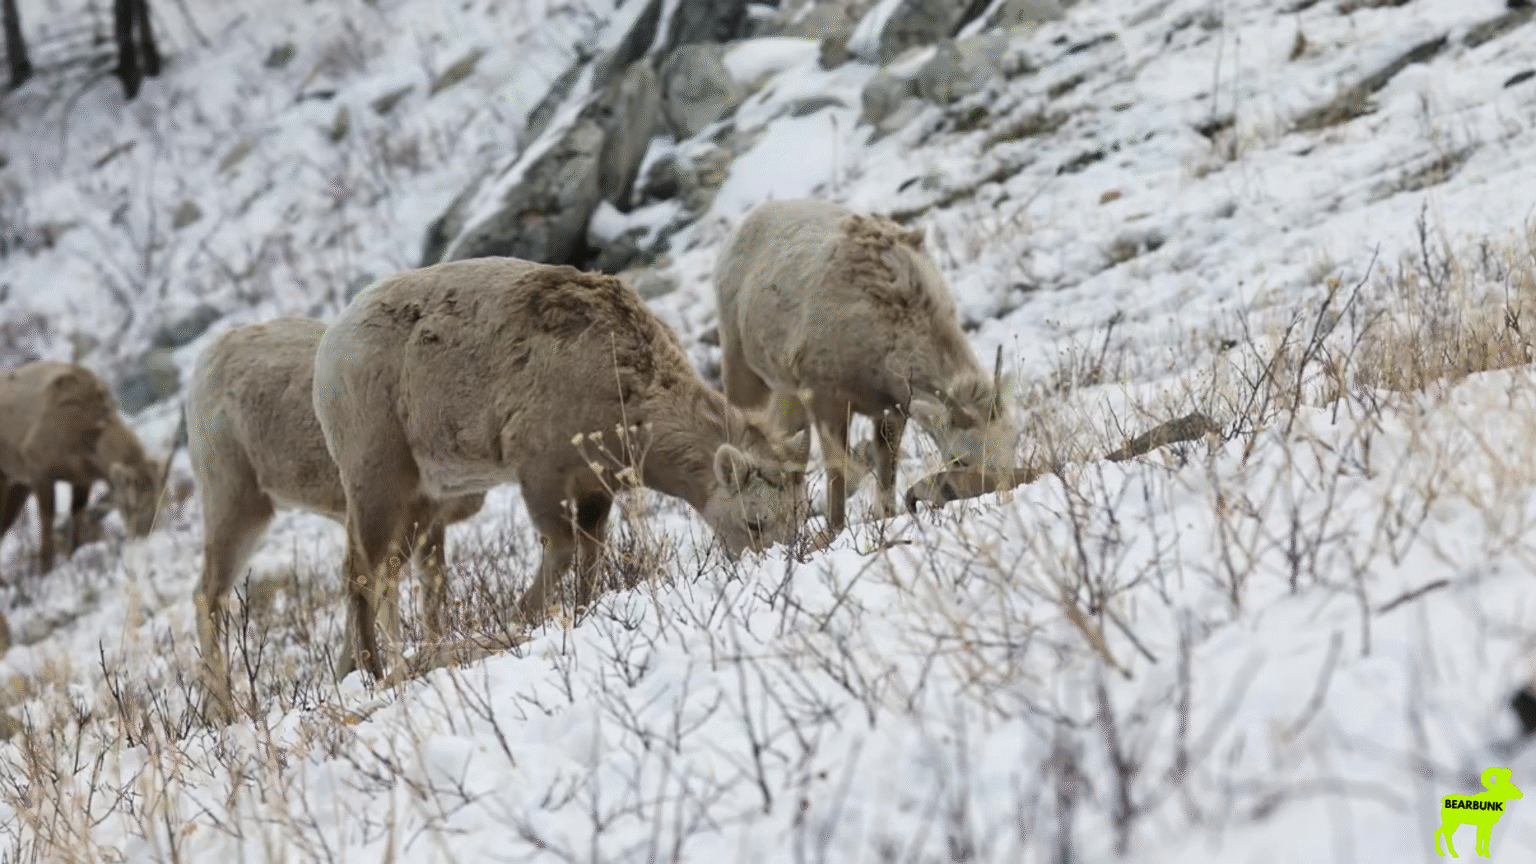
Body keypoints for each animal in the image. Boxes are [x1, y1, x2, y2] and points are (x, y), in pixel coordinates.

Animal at [0, 361, 164, 574]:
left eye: (162, 498)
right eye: (130, 504)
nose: (147, 534)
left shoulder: (83, 478)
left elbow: (77, 515)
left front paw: (74, 555)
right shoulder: (37, 464)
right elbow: (47, 521)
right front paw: (45, 570)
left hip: (16, 484)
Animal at [186, 317, 486, 722]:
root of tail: (204, 365)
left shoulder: (426, 525)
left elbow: (427, 592)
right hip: (234, 503)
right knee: (207, 595)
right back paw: (222, 711)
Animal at [312, 257, 809, 684]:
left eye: (799, 514)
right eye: (754, 522)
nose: (777, 568)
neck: (627, 406)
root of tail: (328, 350)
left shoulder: (597, 481)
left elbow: (592, 550)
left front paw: (586, 608)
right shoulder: (537, 466)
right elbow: (562, 547)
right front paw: (518, 617)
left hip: (426, 492)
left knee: (384, 569)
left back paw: (353, 671)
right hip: (375, 469)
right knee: (361, 568)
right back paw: (373, 670)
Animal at [713, 198, 1017, 536]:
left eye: (1015, 439)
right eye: (958, 459)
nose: (1001, 491)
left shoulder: (891, 407)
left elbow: (887, 467)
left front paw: (885, 517)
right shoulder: (825, 397)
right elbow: (840, 473)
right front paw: (832, 532)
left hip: (785, 390)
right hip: (740, 364)